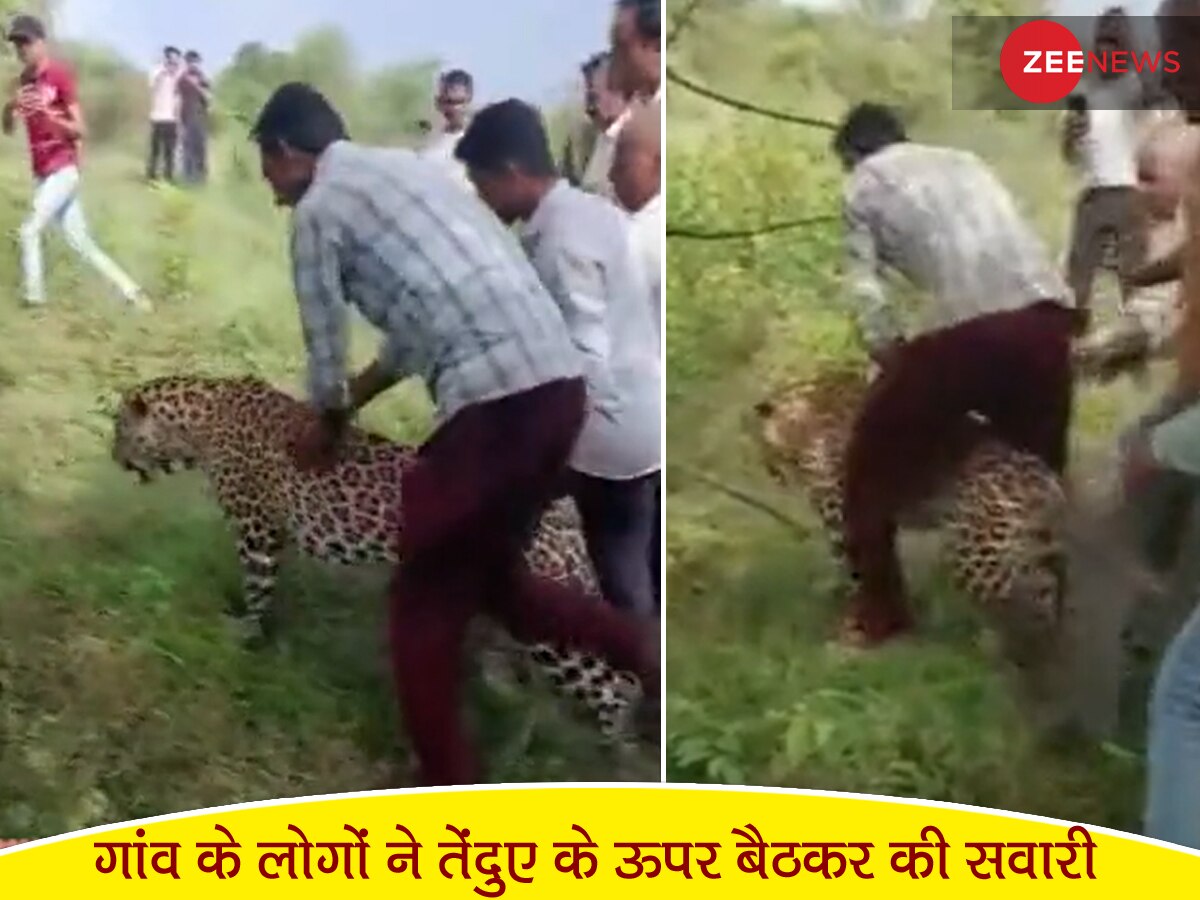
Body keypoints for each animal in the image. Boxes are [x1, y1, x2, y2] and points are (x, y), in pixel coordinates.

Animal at [109, 374, 645, 747]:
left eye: (119, 429)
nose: (113, 456)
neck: (199, 420)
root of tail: (565, 523)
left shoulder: (256, 529)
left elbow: (256, 588)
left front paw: (243, 635)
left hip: (554, 634)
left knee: (616, 684)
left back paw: (611, 751)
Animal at [753, 364, 1070, 654]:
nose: (770, 473)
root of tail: (1044, 479)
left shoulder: (840, 514)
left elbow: (856, 571)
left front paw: (856, 629)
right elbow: (887, 569)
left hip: (975, 555)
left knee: (1027, 605)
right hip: (1026, 547)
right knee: (1045, 591)